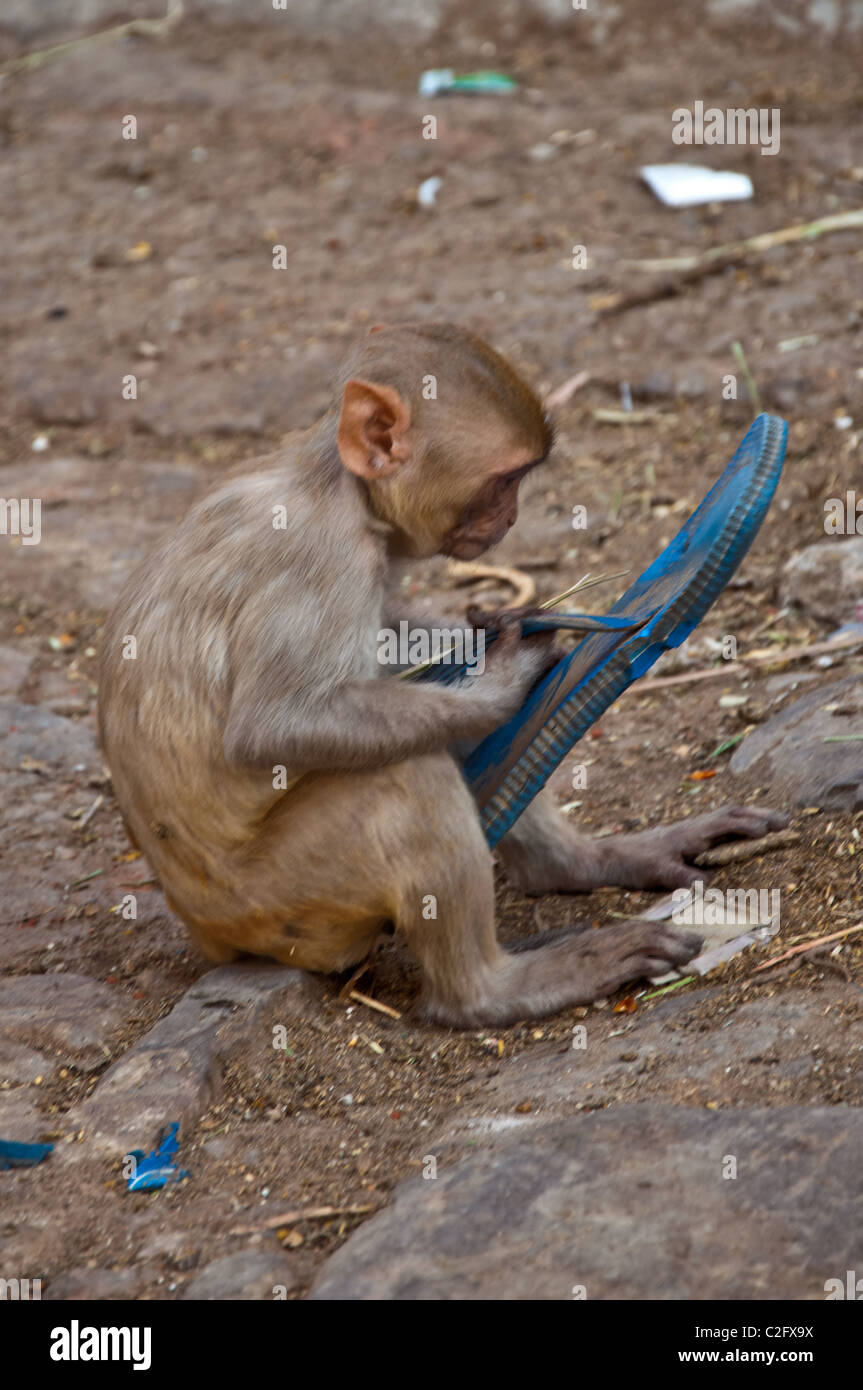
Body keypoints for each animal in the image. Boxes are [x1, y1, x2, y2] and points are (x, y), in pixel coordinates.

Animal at [98, 323, 786, 1027]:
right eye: (504, 481)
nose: (510, 518)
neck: (338, 486)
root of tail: (208, 935)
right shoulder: (319, 553)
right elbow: (276, 725)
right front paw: (501, 683)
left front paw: (499, 625)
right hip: (283, 906)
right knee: (404, 777)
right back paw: (490, 989)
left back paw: (577, 861)